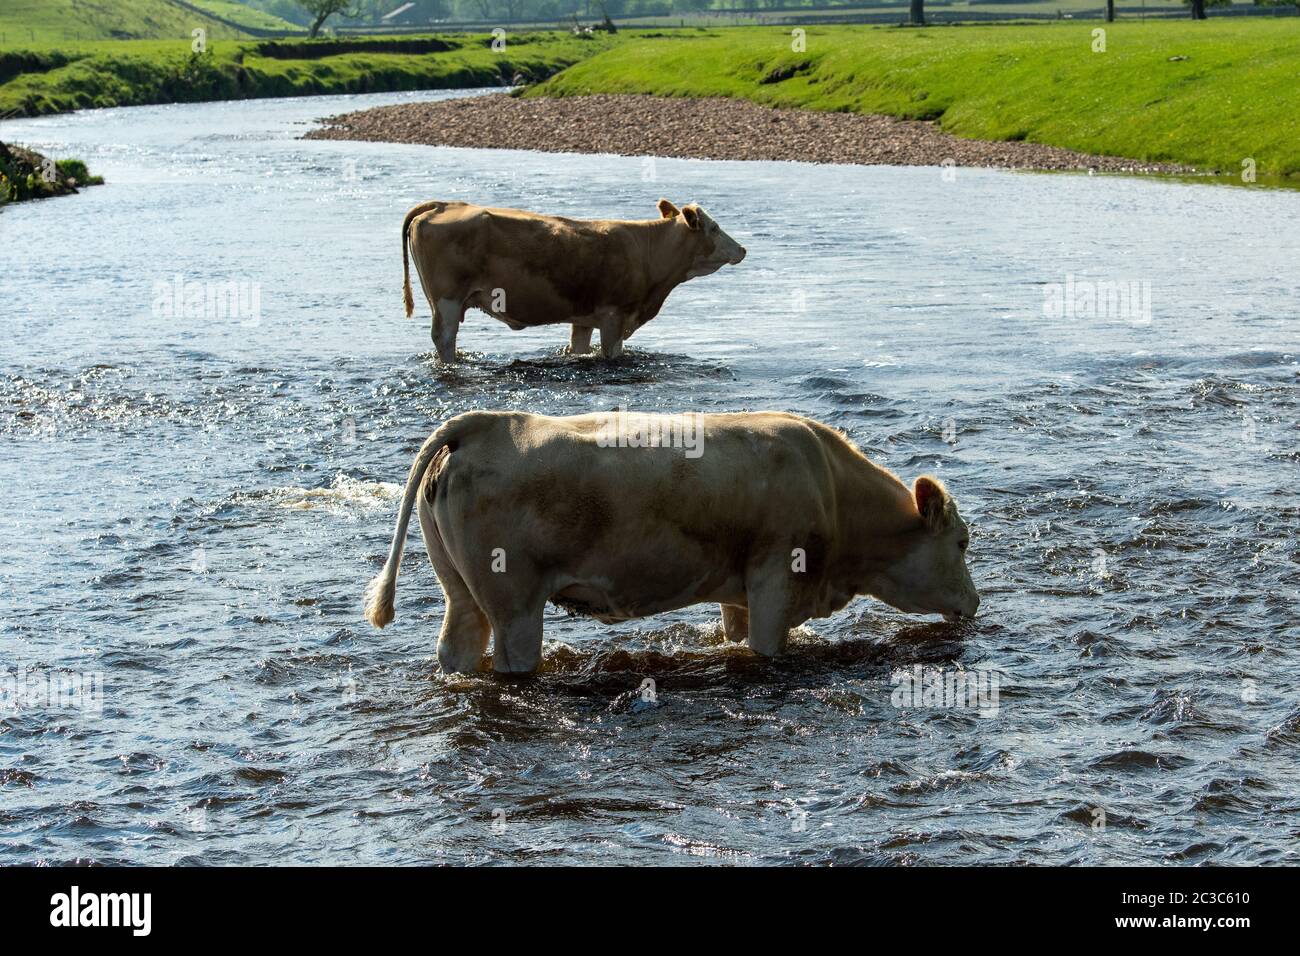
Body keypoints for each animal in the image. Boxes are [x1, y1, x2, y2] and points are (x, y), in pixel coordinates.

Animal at [363, 410, 980, 674]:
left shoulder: (741, 589)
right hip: (513, 601)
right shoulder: (777, 578)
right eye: (963, 542)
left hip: (461, 592)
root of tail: (485, 424)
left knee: (458, 646)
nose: (975, 603)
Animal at [399, 199, 746, 362]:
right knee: (445, 338)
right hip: (448, 300)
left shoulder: (584, 318)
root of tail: (445, 204)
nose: (742, 249)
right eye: (714, 228)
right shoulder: (614, 316)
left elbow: (577, 347)